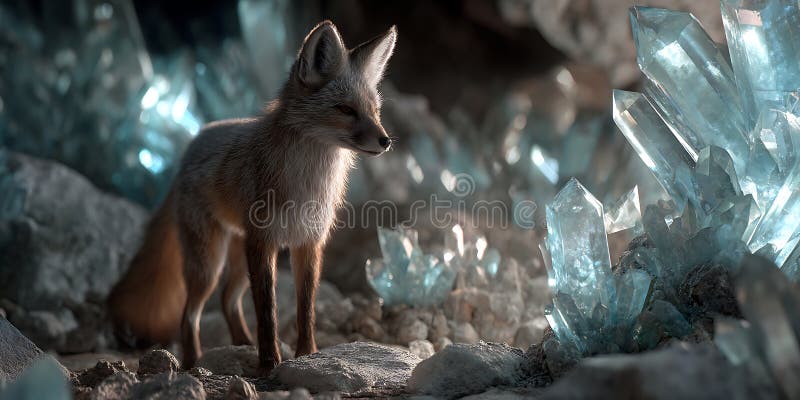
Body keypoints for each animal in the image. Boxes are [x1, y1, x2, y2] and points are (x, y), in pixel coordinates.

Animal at [108, 21, 397, 373]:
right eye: (345, 109)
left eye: (375, 111)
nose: (385, 141)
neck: (307, 184)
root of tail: (191, 147)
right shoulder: (263, 242)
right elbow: (267, 313)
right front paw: (270, 362)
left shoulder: (308, 244)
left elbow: (306, 310)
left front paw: (307, 354)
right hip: (209, 263)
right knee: (190, 314)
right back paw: (193, 363)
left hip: (236, 257)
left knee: (227, 300)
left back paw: (240, 344)